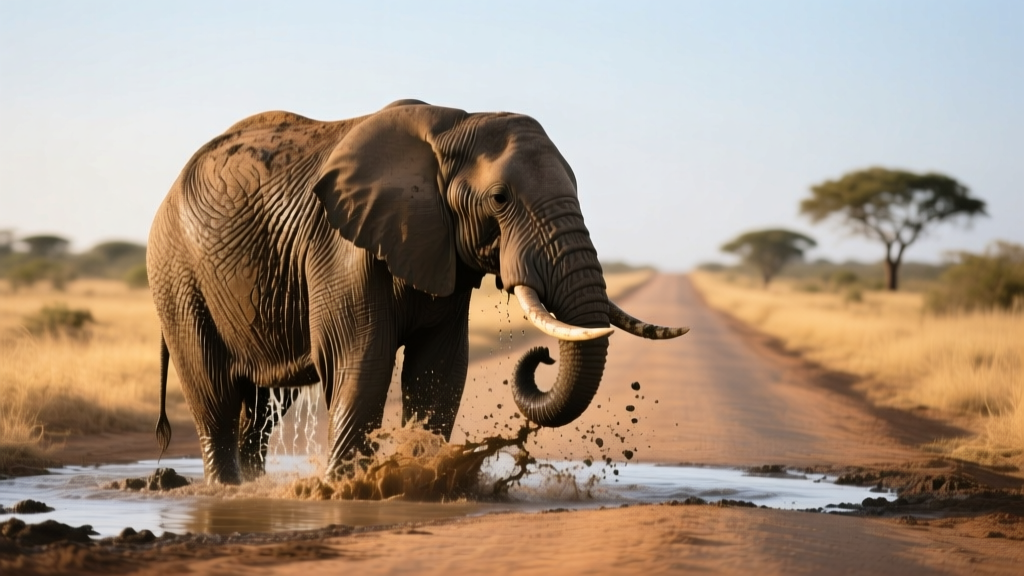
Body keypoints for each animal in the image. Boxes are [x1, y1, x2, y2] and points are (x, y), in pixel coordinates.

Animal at [148, 99, 687, 485]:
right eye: (499, 199)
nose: (543, 356)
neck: (452, 126)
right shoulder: (341, 250)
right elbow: (362, 365)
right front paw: (344, 490)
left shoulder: (444, 253)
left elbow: (439, 371)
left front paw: (420, 478)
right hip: (177, 276)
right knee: (215, 396)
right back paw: (227, 491)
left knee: (262, 410)